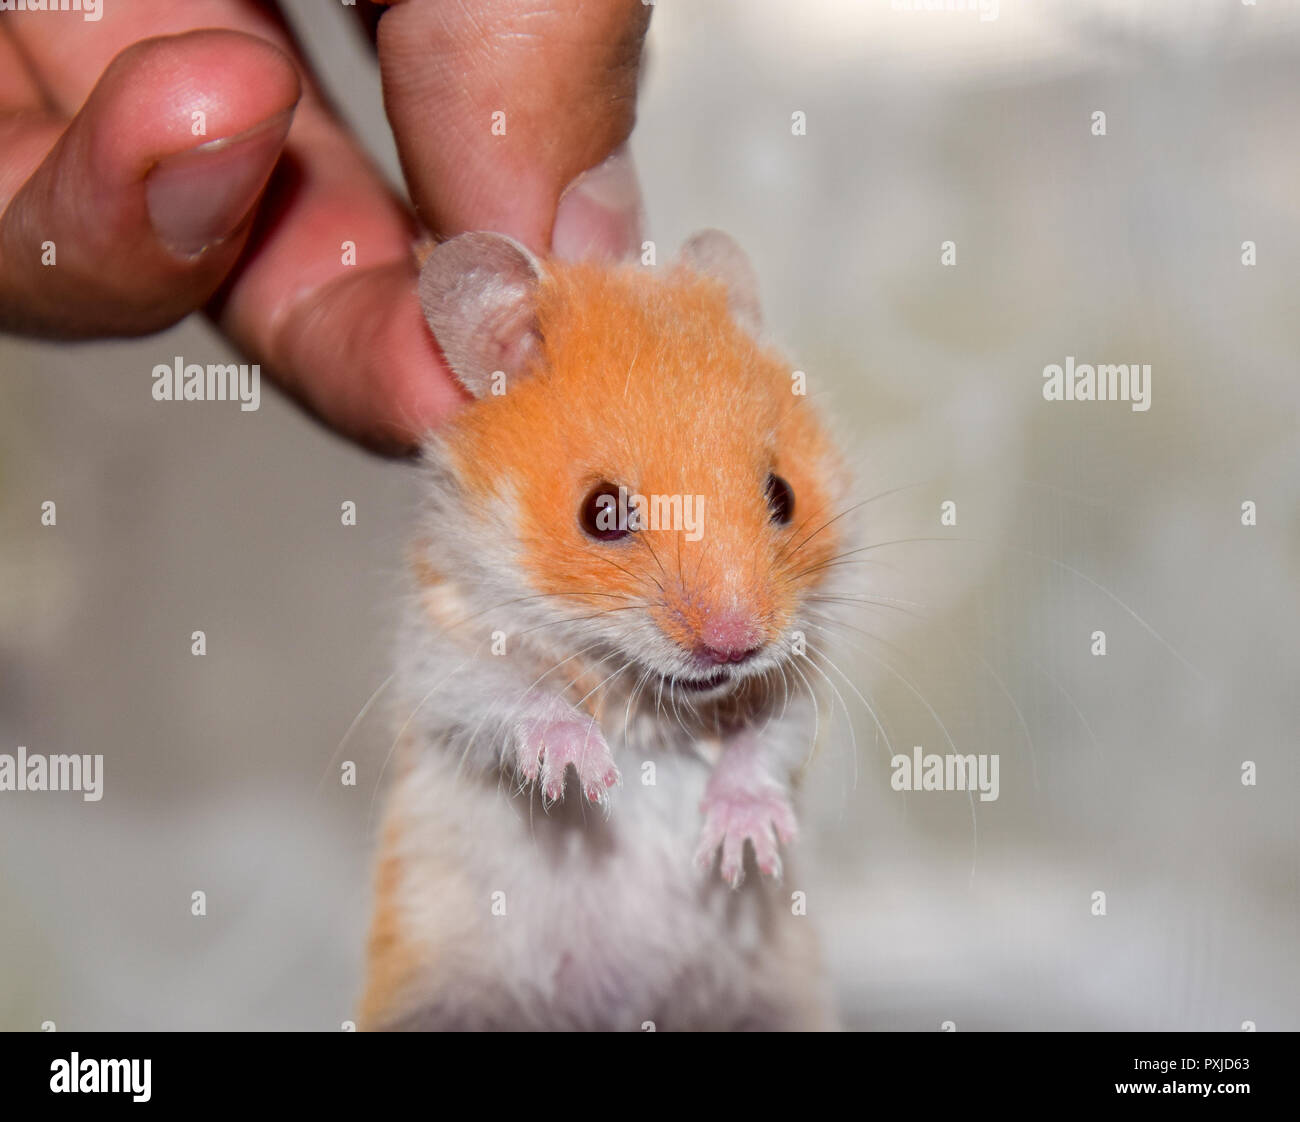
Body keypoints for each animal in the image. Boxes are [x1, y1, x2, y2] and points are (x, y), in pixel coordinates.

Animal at [359, 230, 854, 1031]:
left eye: (782, 496)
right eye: (602, 512)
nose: (737, 643)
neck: (642, 691)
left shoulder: (795, 677)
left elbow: (771, 736)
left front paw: (740, 845)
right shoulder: (441, 648)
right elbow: (505, 694)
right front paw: (582, 774)